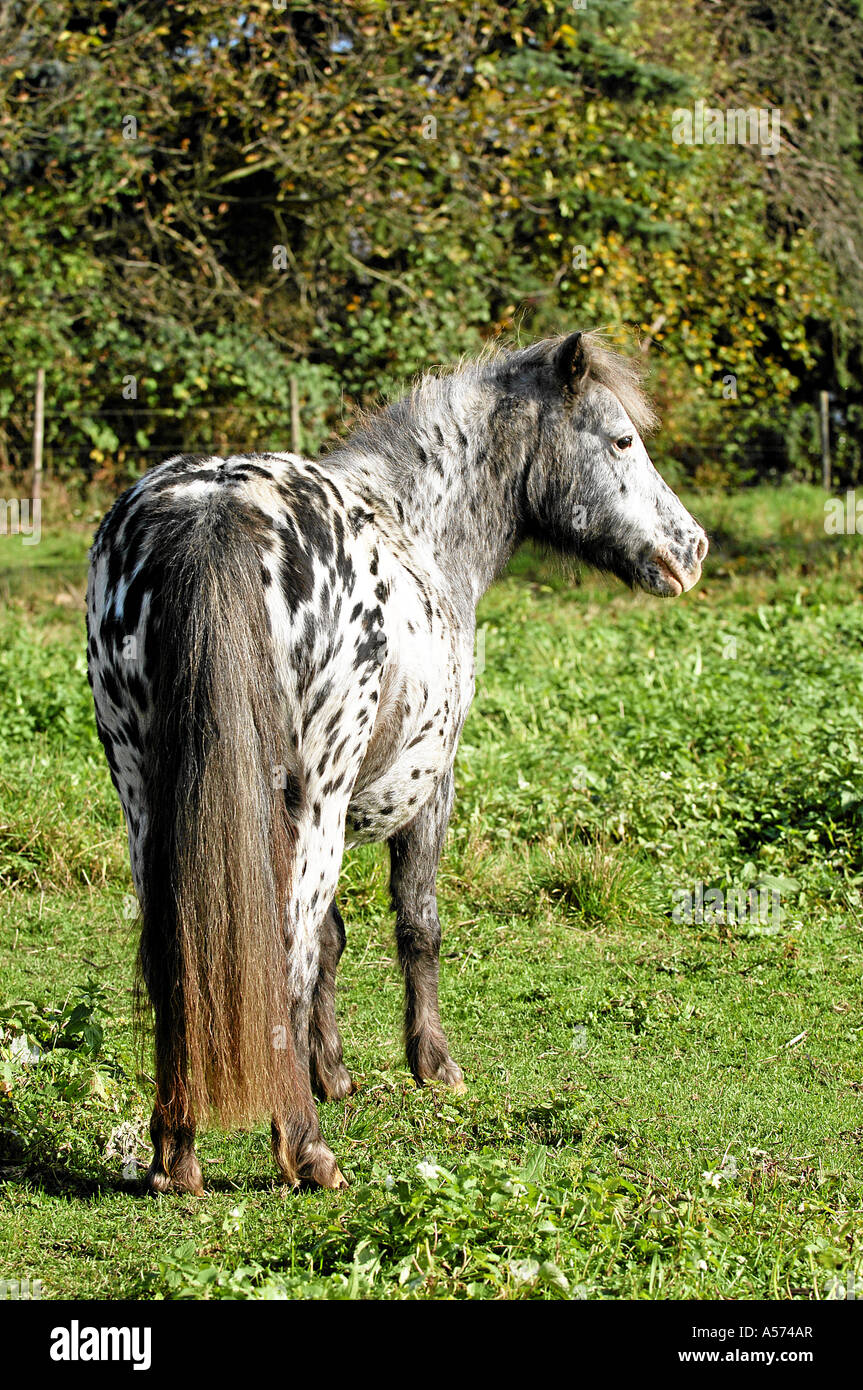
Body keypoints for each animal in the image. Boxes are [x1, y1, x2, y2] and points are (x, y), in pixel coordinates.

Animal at [86, 331, 708, 1193]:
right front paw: (431, 1065)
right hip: (306, 806)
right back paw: (306, 1152)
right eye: (620, 440)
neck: (419, 534)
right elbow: (415, 926)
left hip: (150, 807)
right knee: (284, 951)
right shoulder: (427, 791)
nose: (690, 550)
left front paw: (333, 1073)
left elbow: (334, 944)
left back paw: (176, 1155)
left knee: (178, 958)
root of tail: (215, 511)